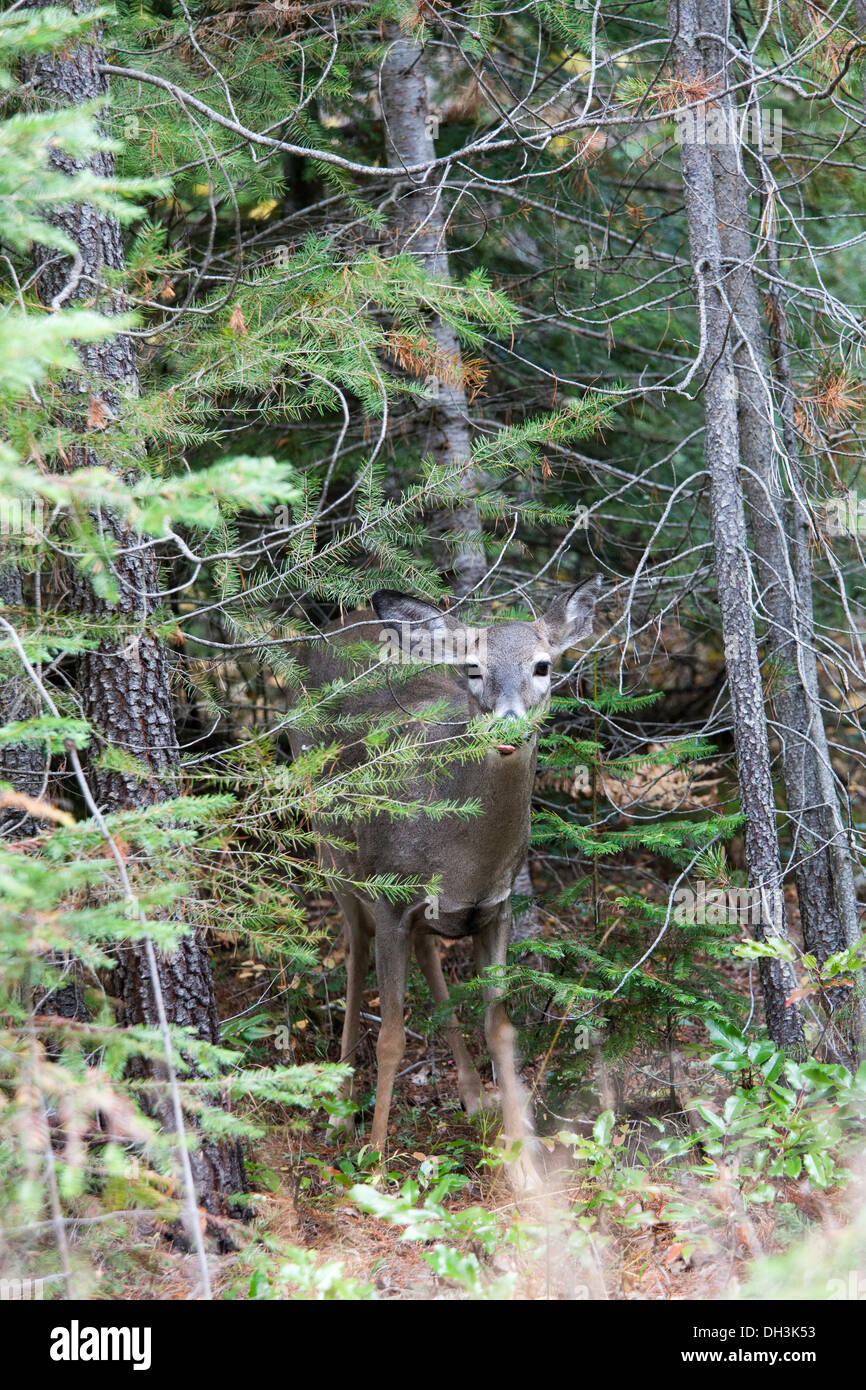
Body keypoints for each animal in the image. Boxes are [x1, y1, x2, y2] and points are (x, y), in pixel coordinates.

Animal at [290, 576, 603, 1186]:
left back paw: (472, 1097)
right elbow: (390, 1036)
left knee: (428, 955)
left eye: (543, 665)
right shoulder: (390, 901)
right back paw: (341, 1110)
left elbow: (500, 1029)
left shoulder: (495, 908)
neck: (465, 855)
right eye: (473, 668)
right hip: (334, 845)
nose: (507, 725)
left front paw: (524, 1166)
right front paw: (377, 1166)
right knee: (353, 949)